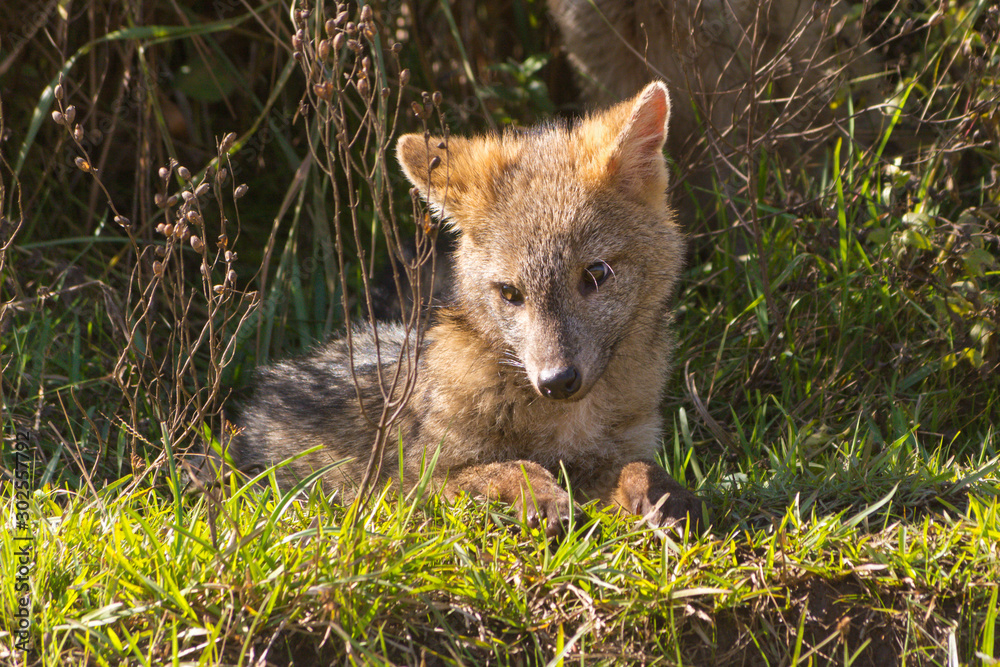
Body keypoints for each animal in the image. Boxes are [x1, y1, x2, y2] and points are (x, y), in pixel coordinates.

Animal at [231, 81, 700, 535]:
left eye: (596, 274)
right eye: (510, 292)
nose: (556, 381)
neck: (565, 424)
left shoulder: (614, 452)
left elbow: (639, 465)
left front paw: (665, 495)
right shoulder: (410, 484)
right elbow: (512, 466)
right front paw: (541, 495)